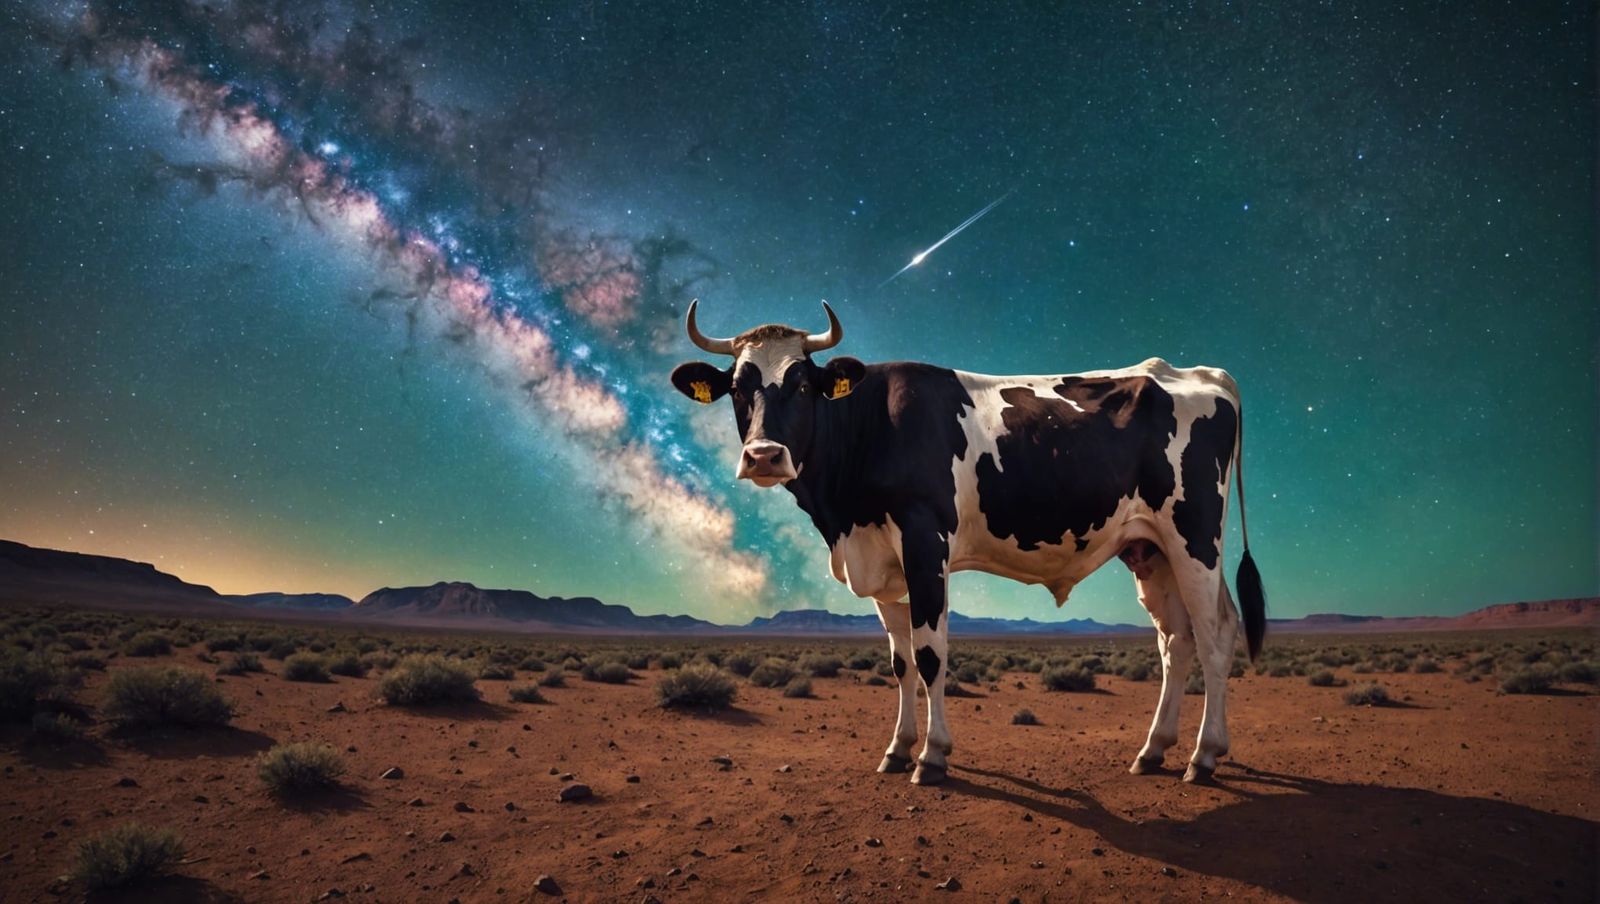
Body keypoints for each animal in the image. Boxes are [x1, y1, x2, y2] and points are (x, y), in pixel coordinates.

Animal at [670, 301, 1265, 785]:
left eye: (799, 384)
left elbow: (931, 655)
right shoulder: (884, 566)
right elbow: (901, 662)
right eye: (738, 388)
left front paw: (932, 756)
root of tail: (1200, 373)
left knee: (1215, 634)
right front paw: (898, 749)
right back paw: (1154, 750)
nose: (764, 456)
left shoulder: (924, 541)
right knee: (1176, 641)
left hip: (1194, 538)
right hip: (1151, 549)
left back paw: (1204, 756)